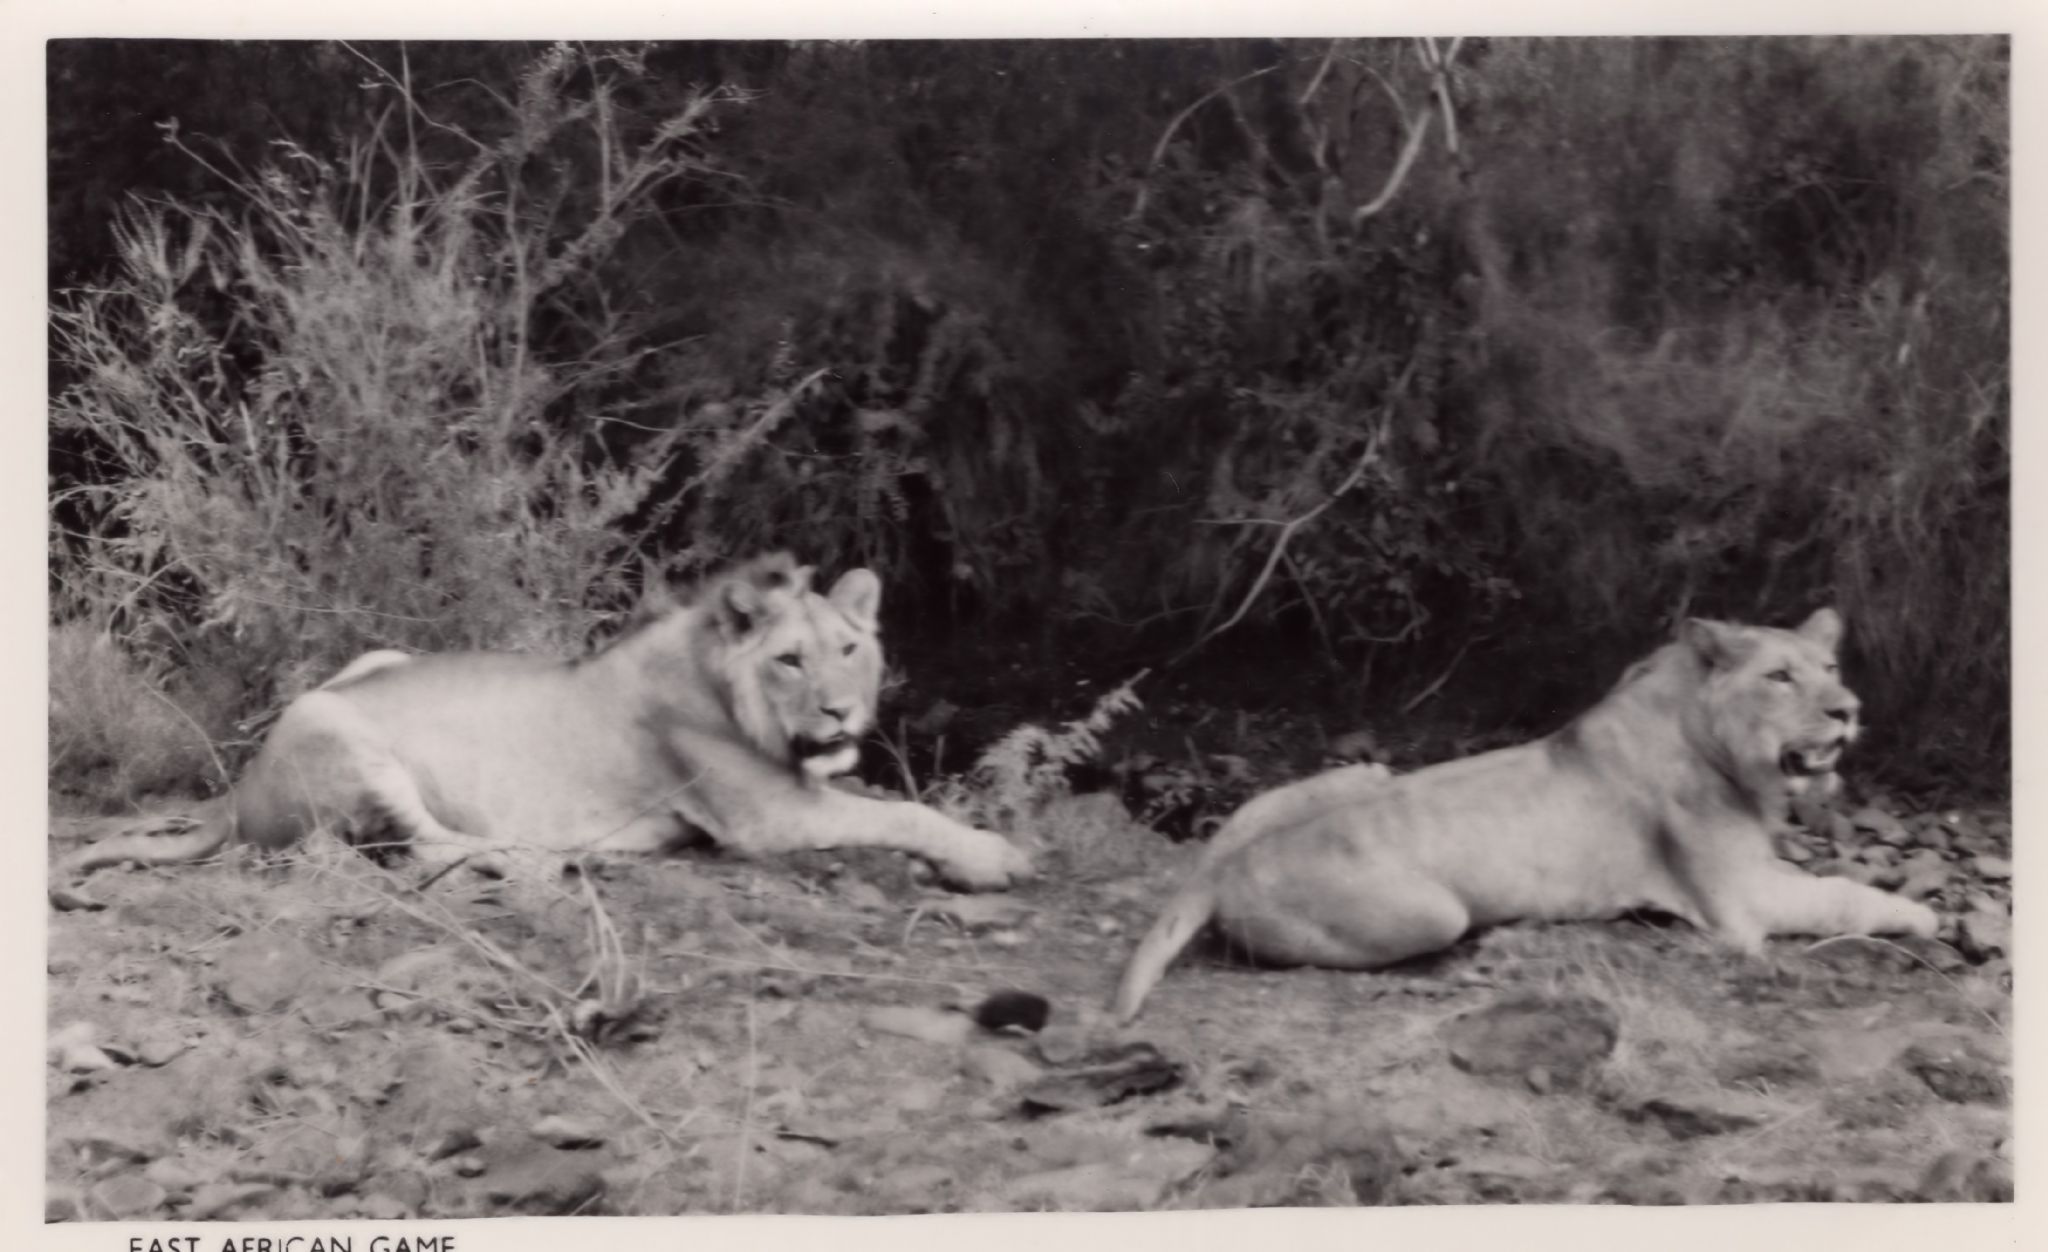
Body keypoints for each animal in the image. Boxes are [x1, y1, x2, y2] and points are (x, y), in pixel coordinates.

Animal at [62, 554, 1033, 892]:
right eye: (790, 659)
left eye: (849, 649)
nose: (842, 711)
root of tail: (239, 788)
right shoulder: (765, 814)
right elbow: (902, 811)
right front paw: (994, 856)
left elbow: (883, 797)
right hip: (333, 719)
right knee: (421, 845)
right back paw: (547, 857)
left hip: (376, 658)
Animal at [1111, 608, 1938, 1023]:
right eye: (1779, 677)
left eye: (1829, 668)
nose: (1848, 709)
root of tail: (1217, 871)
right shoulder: (1738, 904)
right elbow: (1844, 894)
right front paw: (1925, 916)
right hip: (1432, 912)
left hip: (1361, 773)